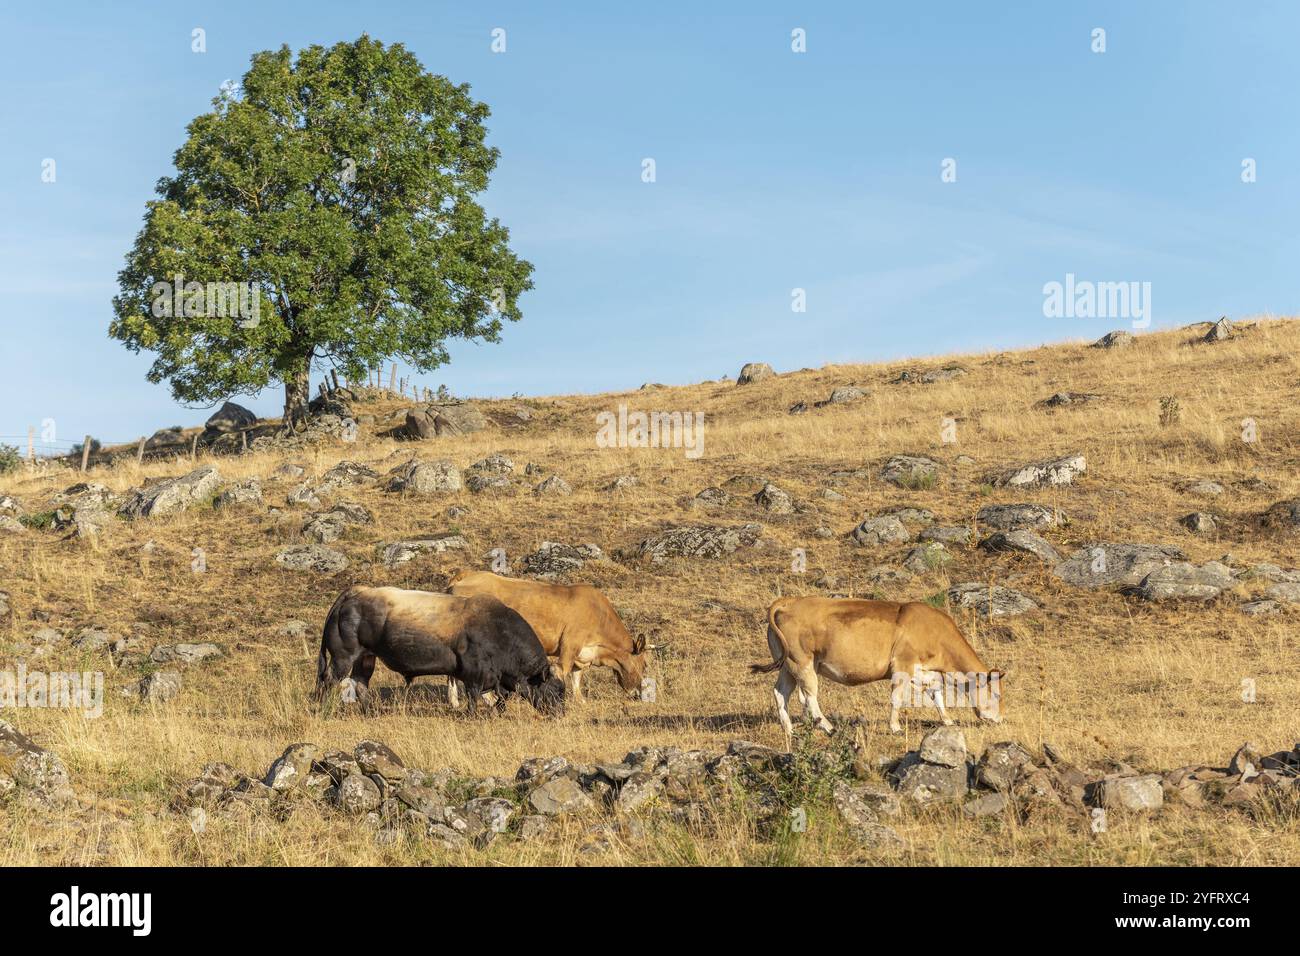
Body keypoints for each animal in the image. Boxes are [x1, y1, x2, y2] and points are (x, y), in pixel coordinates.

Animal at [316, 585, 565, 715]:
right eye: (555, 690)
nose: (561, 713)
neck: (497, 629)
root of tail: (355, 593)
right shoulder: (474, 674)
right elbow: (474, 696)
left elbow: (500, 698)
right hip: (343, 657)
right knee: (329, 680)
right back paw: (323, 709)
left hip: (366, 658)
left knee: (360, 683)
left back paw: (371, 711)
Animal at [448, 570, 649, 702]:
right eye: (645, 665)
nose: (638, 694)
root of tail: (466, 574)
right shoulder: (570, 646)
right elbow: (563, 672)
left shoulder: (581, 656)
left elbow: (577, 679)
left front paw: (581, 701)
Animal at [752, 596, 1004, 741]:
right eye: (997, 695)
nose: (1000, 719)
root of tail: (787, 601)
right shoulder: (902, 664)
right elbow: (897, 698)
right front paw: (895, 727)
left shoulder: (925, 670)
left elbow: (937, 693)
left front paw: (948, 721)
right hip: (802, 662)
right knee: (810, 697)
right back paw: (828, 727)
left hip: (788, 665)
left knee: (781, 692)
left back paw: (790, 730)